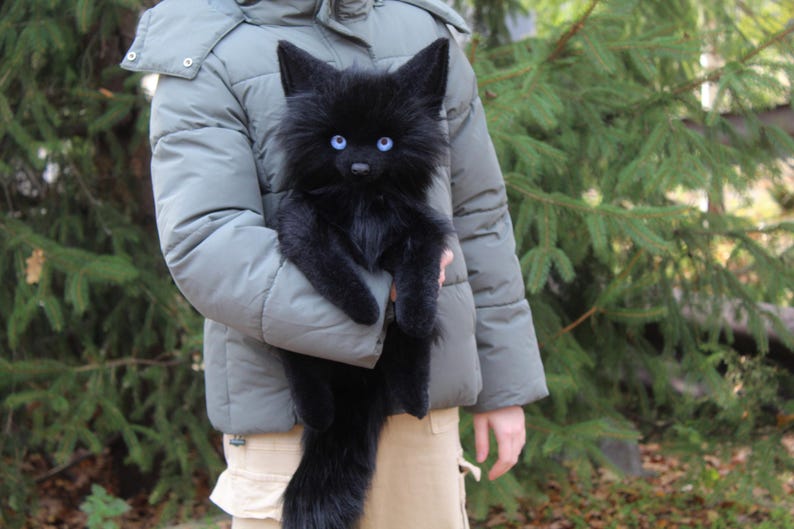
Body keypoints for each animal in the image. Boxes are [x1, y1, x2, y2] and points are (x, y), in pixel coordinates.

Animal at [274, 38, 453, 529]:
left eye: (384, 143)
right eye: (337, 139)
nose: (357, 166)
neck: (362, 202)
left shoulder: (422, 231)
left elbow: (418, 285)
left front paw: (411, 311)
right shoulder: (299, 219)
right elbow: (329, 264)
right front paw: (364, 307)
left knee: (411, 354)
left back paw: (415, 401)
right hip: (297, 348)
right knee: (300, 365)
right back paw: (318, 413)